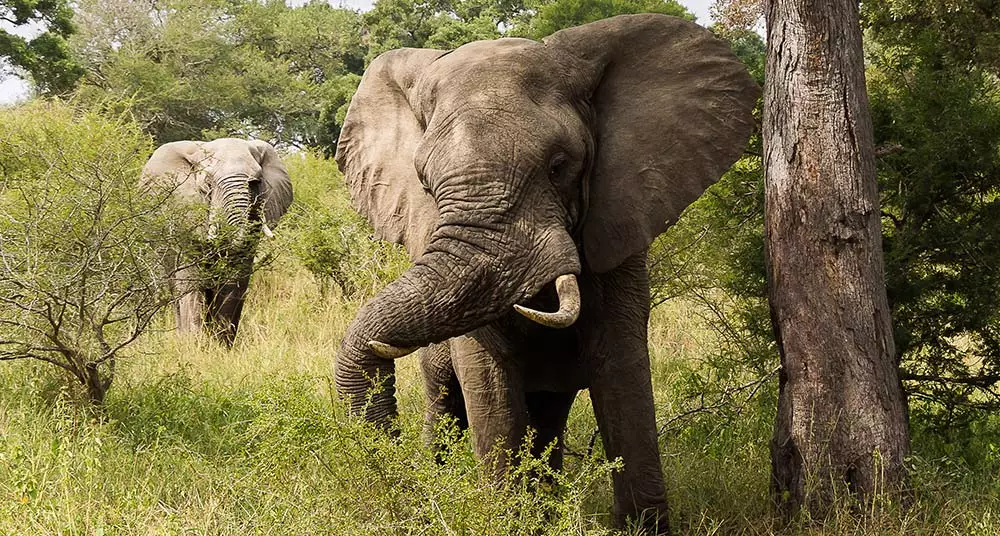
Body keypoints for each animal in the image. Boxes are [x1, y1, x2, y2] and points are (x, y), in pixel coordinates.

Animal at [143, 138, 294, 348]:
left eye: (257, 182)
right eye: (208, 184)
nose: (252, 182)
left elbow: (234, 282)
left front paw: (220, 346)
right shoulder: (183, 213)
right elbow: (190, 280)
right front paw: (195, 345)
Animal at [332, 14, 752, 532]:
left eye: (559, 167)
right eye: (425, 185)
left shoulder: (617, 229)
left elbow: (621, 367)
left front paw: (641, 527)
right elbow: (488, 380)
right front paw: (506, 518)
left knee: (549, 415)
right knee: (444, 397)